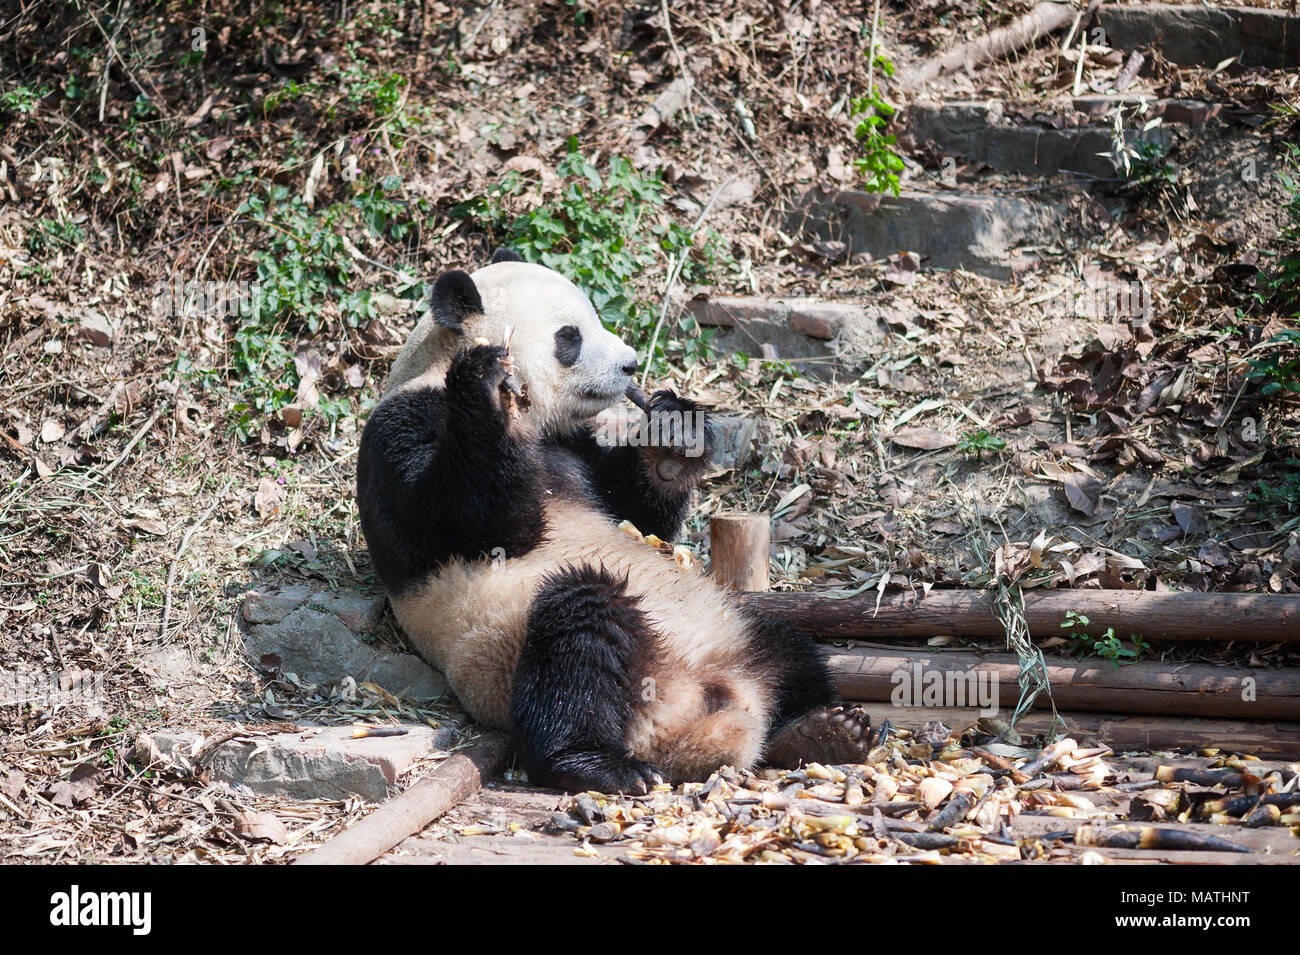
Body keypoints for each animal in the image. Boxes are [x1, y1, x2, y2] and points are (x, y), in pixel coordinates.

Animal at [356, 250, 871, 793]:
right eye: (570, 337)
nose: (630, 365)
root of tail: (695, 719)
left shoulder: (574, 444)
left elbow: (638, 515)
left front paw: (673, 432)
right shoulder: (403, 427)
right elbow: (465, 525)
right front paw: (488, 389)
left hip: (730, 627)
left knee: (788, 648)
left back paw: (824, 731)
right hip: (511, 648)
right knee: (580, 636)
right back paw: (596, 762)